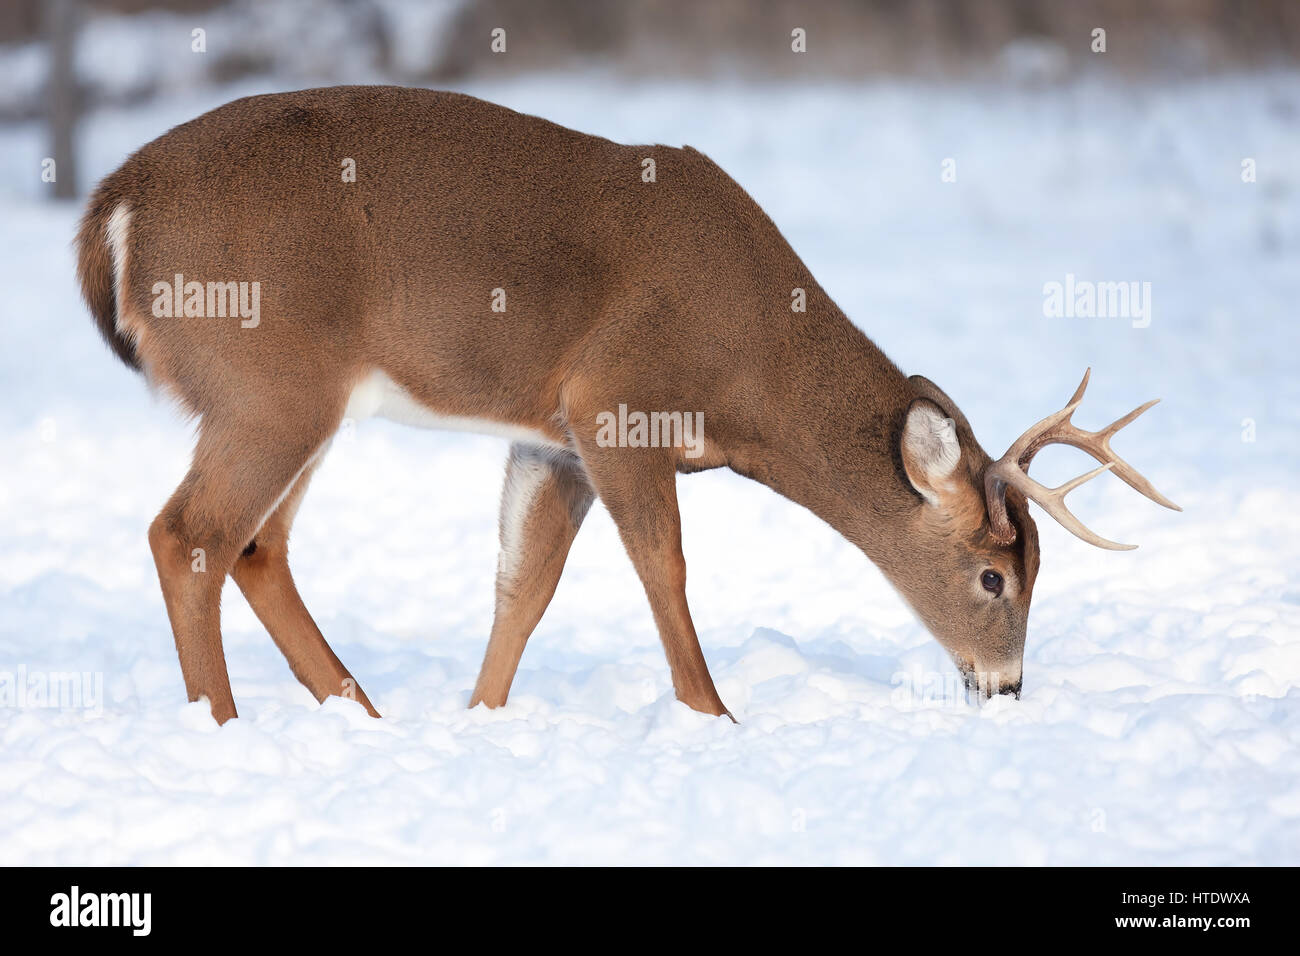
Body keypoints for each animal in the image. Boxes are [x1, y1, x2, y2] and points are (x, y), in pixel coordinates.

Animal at [76, 87, 1179, 724]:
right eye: (995, 575)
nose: (1007, 686)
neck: (752, 370)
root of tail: (114, 206)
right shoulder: (612, 399)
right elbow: (665, 567)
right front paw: (714, 717)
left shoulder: (550, 437)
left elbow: (523, 585)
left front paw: (482, 719)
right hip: (268, 384)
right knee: (189, 536)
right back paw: (222, 724)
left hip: (296, 403)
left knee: (257, 546)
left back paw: (362, 714)